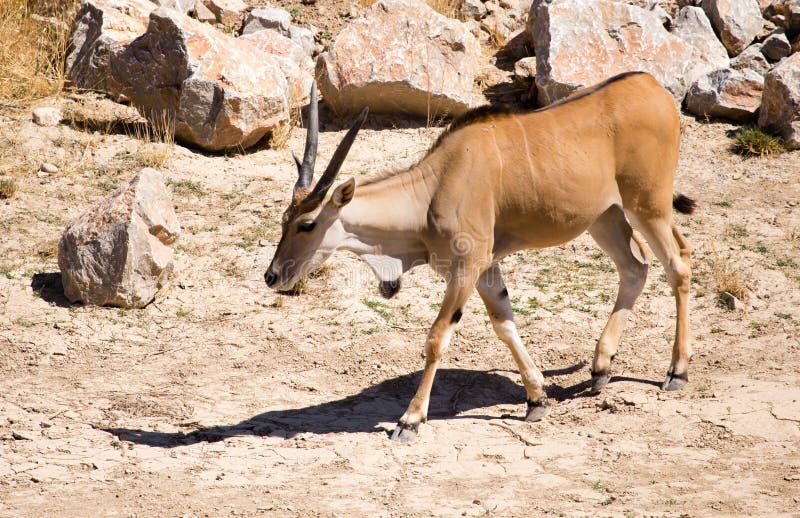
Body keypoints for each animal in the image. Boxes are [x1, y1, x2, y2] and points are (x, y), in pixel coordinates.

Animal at [265, 72, 695, 442]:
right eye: (285, 219)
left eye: (306, 224)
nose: (272, 276)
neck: (434, 187)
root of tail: (650, 86)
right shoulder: (487, 269)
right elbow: (504, 324)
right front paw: (537, 399)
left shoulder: (466, 268)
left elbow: (437, 337)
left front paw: (410, 420)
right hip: (605, 217)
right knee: (635, 268)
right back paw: (601, 368)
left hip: (648, 206)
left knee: (678, 264)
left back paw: (677, 371)